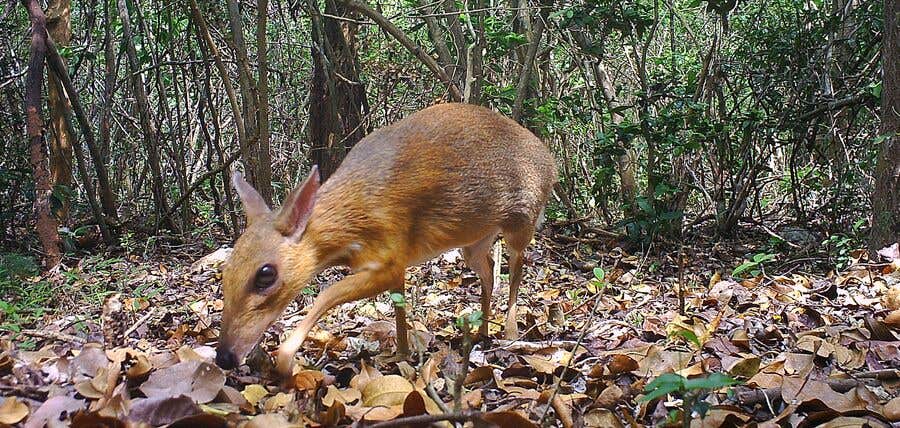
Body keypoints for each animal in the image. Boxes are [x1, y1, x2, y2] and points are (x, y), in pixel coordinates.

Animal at [215, 103, 557, 379]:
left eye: (265, 274)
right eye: (225, 271)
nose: (224, 357)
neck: (353, 218)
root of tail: (550, 160)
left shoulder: (390, 254)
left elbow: (327, 293)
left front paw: (286, 360)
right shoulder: (397, 262)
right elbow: (398, 305)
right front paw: (401, 353)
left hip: (522, 220)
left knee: (517, 268)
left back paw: (510, 332)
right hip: (474, 241)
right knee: (487, 271)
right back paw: (481, 331)